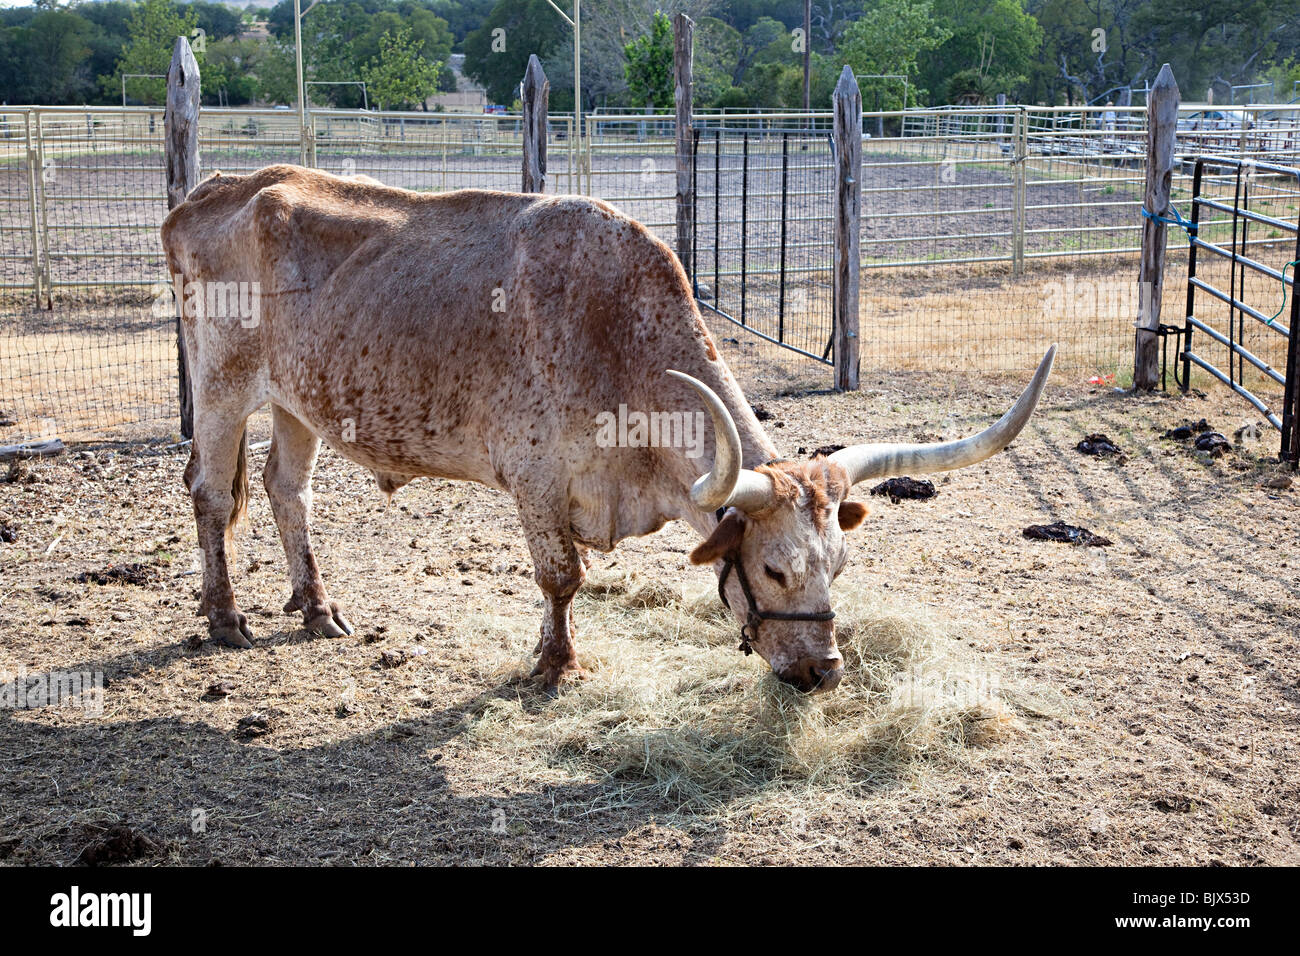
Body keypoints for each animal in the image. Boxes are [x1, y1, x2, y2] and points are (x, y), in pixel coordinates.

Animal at [160, 165, 1055, 694]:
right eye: (772, 571)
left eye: (839, 563)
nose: (822, 672)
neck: (617, 333)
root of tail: (214, 189)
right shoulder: (534, 481)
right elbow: (562, 580)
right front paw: (555, 667)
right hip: (222, 388)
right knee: (210, 494)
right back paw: (224, 617)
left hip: (297, 400)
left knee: (287, 492)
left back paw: (316, 607)